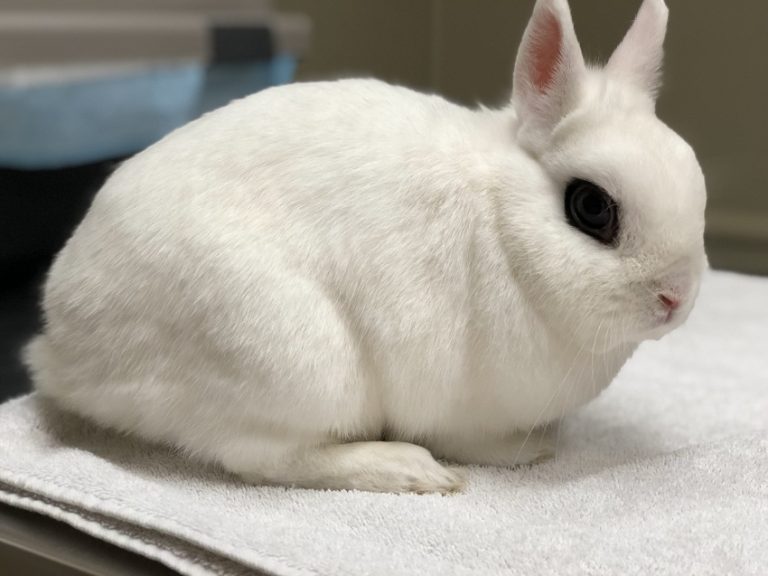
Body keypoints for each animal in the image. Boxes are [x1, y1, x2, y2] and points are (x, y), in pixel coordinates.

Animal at [25, 0, 706, 494]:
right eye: (591, 208)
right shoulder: (463, 410)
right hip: (294, 361)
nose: (675, 300)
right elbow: (479, 442)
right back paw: (410, 471)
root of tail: (62, 351)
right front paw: (532, 452)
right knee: (261, 459)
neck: (503, 224)